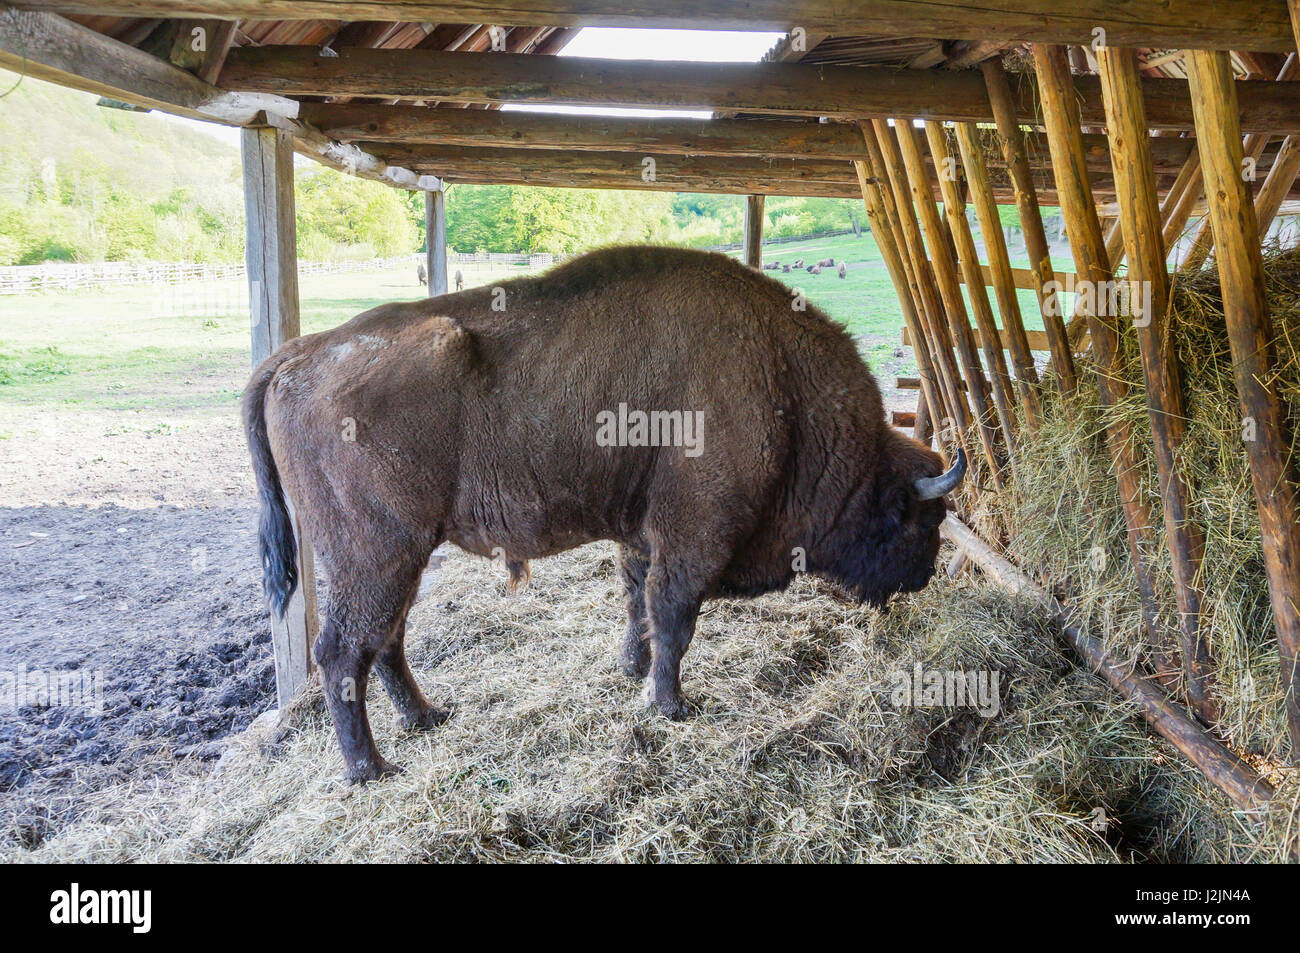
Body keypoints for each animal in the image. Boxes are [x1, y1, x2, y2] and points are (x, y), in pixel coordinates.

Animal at [244, 246, 965, 782]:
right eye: (922, 519)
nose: (925, 577)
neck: (782, 385)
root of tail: (297, 355)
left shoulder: (642, 535)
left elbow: (636, 602)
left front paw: (631, 671)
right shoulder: (694, 537)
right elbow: (673, 615)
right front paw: (670, 704)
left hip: (401, 557)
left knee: (384, 641)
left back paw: (426, 718)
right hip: (376, 553)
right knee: (343, 651)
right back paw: (369, 768)